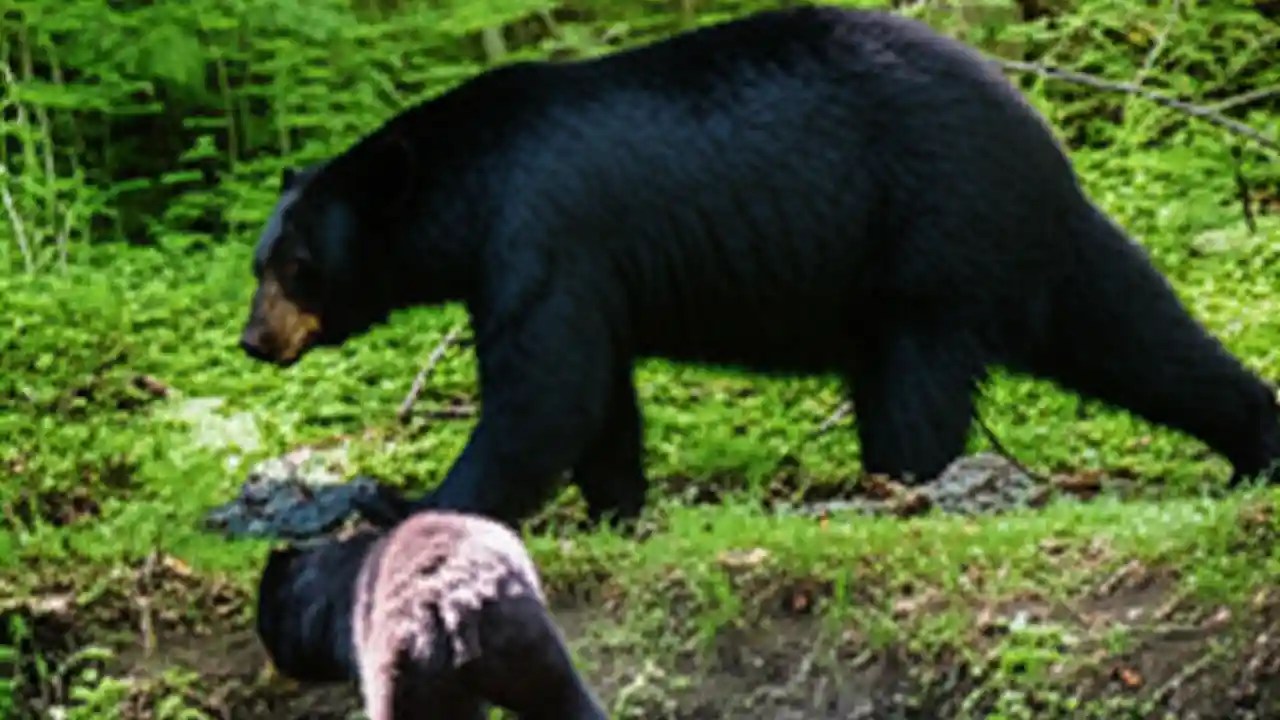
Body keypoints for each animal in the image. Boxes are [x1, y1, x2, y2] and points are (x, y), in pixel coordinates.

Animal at [239, 5, 1280, 531]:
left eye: (295, 264)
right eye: (260, 261)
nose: (254, 339)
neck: (469, 186)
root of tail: (1035, 129)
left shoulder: (543, 235)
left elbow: (545, 391)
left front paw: (406, 500)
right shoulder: (582, 269)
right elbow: (598, 395)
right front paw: (617, 507)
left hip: (931, 236)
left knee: (917, 390)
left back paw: (897, 491)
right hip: (1010, 246)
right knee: (1134, 330)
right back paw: (1255, 441)